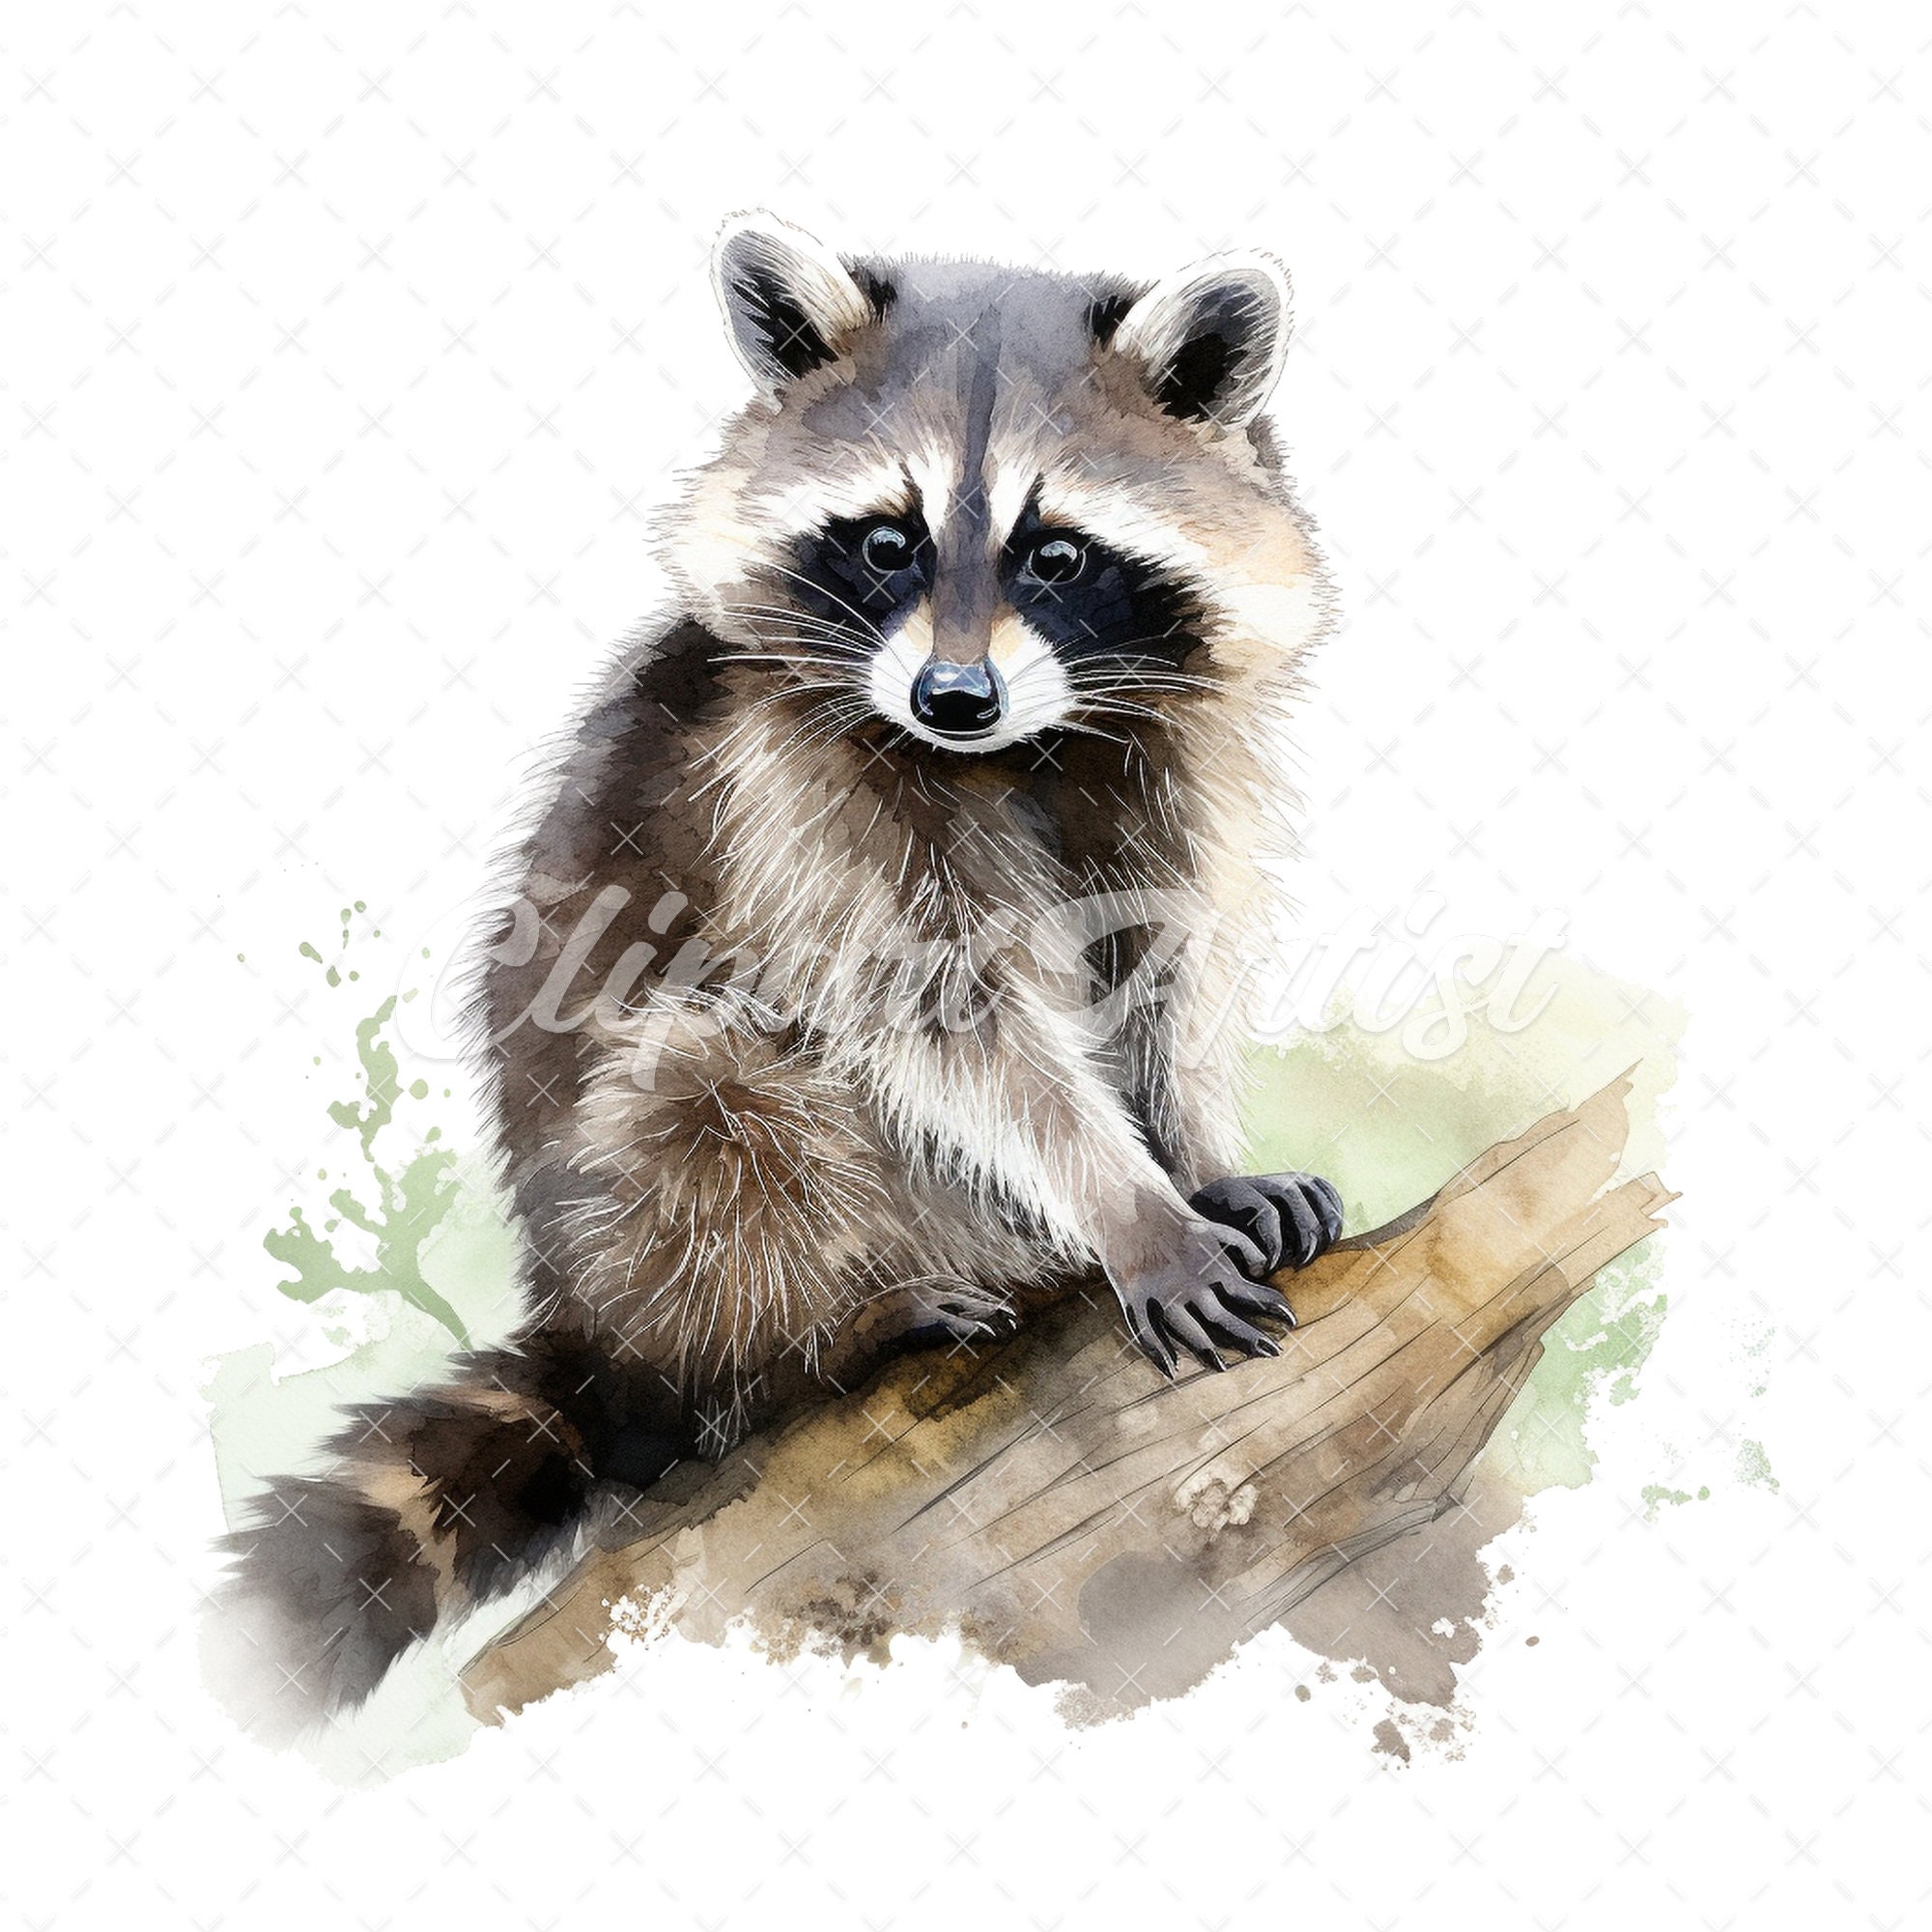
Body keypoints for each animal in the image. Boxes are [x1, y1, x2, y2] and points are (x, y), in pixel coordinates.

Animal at [218, 212, 1345, 1737]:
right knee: (708, 1090)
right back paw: (810, 1340)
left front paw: (1195, 1152)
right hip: (653, 1214)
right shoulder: (797, 786)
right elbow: (945, 1015)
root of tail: (587, 1323)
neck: (1027, 745)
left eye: (1056, 554)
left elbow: (1161, 964)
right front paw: (1128, 1204)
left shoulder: (1172, 756)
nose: (951, 699)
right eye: (884, 540)